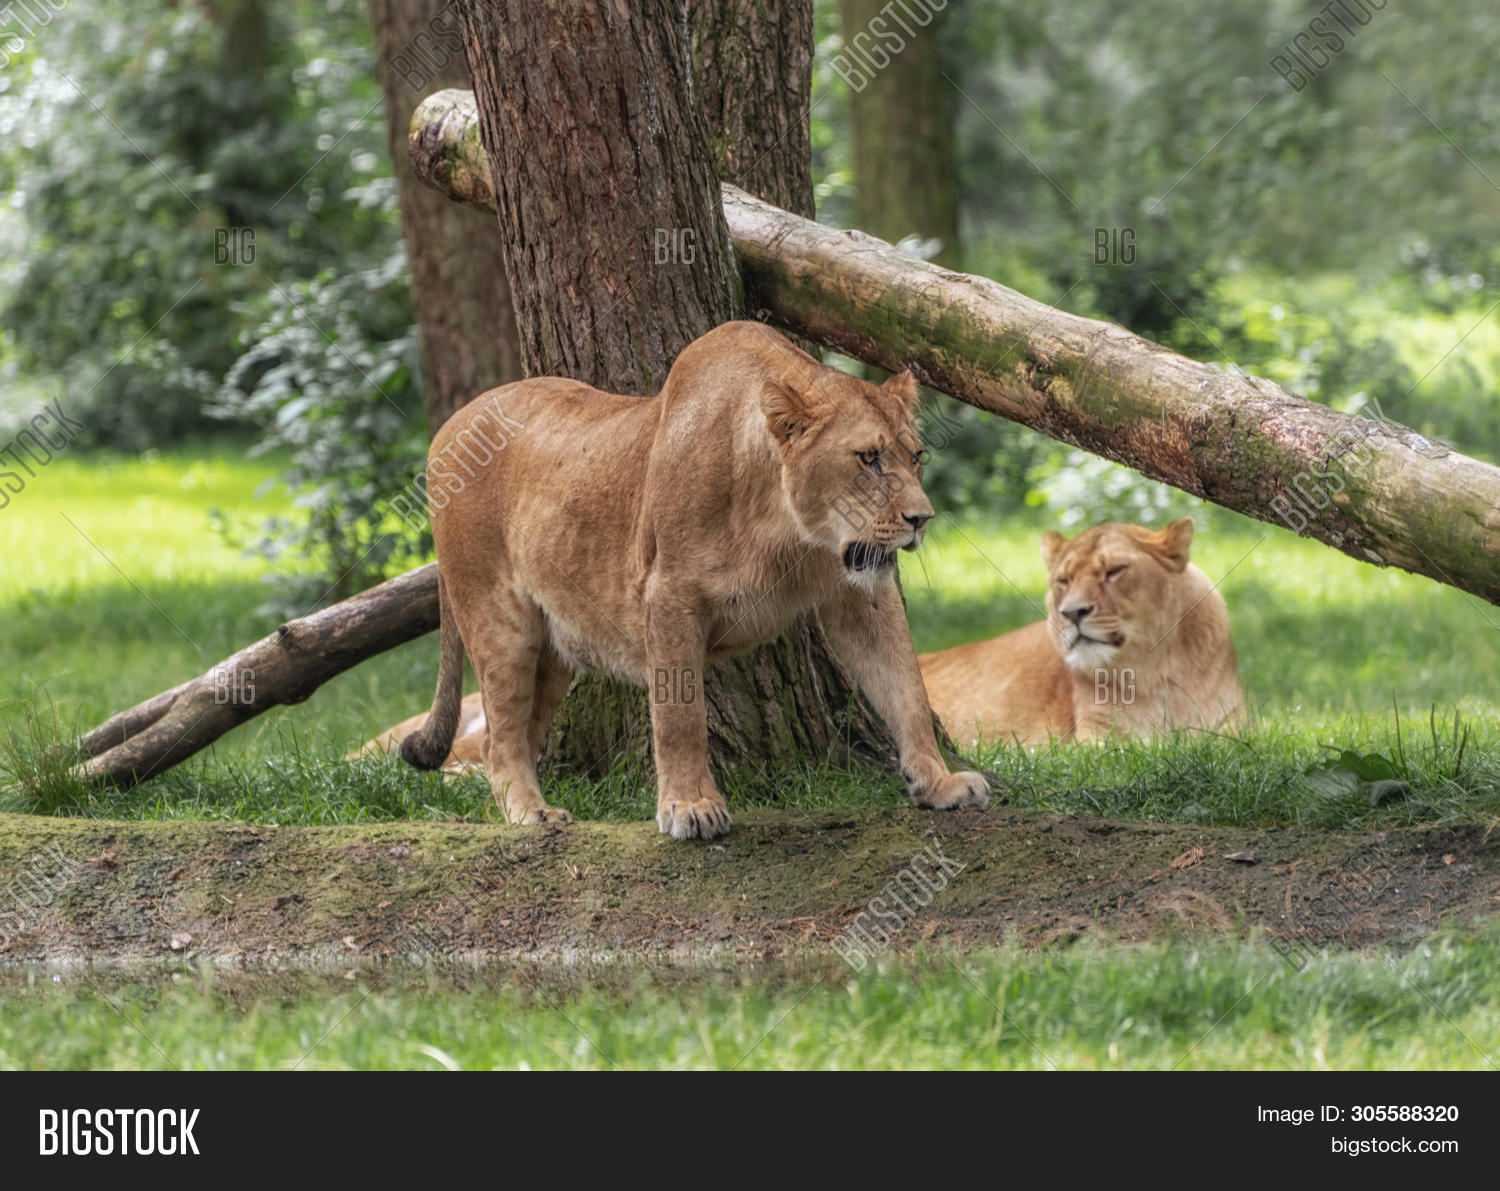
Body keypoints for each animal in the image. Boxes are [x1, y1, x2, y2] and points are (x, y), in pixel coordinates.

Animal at [391, 321, 989, 838]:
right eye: (867, 458)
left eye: (917, 456)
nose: (922, 518)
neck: (787, 531)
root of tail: (448, 427)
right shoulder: (668, 595)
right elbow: (680, 715)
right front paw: (691, 807)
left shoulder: (858, 591)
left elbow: (905, 684)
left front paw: (939, 783)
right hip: (499, 619)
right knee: (498, 738)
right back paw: (530, 814)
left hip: (554, 647)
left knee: (514, 731)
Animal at [917, 519, 1245, 747]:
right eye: (1064, 580)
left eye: (1114, 571)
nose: (1073, 613)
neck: (1156, 674)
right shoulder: (1094, 735)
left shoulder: (1232, 725)